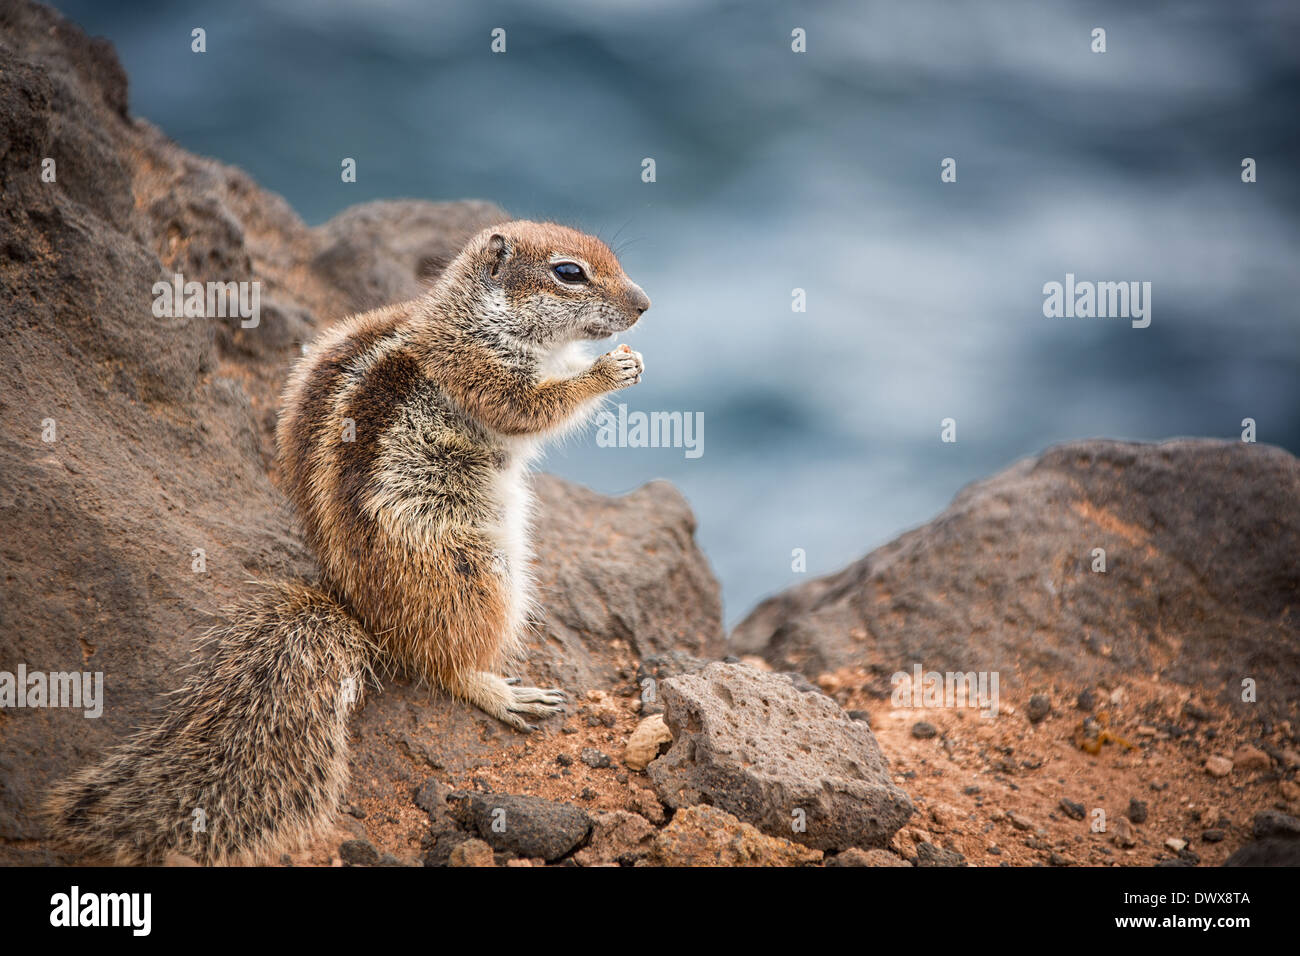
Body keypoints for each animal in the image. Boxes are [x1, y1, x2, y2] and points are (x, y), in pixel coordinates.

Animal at [45, 221, 650, 864]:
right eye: (569, 273)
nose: (644, 305)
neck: (470, 313)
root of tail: (361, 617)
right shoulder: (479, 369)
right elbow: (532, 407)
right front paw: (609, 370)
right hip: (474, 570)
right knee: (442, 663)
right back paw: (500, 691)